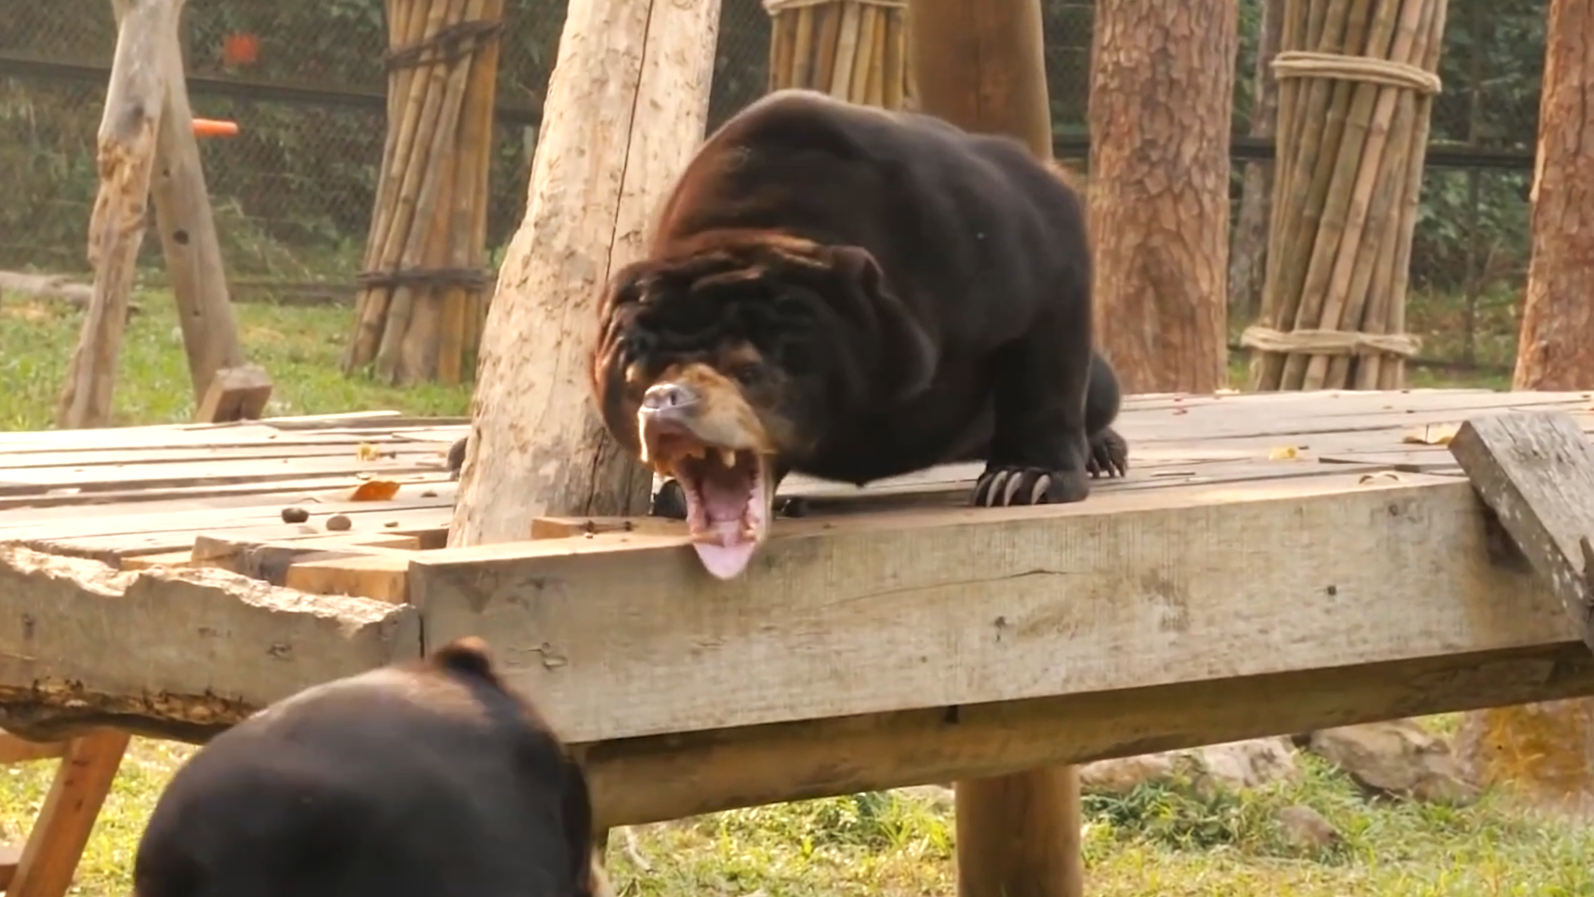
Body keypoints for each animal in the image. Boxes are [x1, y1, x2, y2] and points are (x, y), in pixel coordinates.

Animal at [591, 88, 1129, 580]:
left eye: (749, 371)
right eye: (640, 379)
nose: (666, 402)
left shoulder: (979, 235)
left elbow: (1048, 326)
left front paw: (1024, 480)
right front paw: (676, 495)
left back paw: (1103, 451)